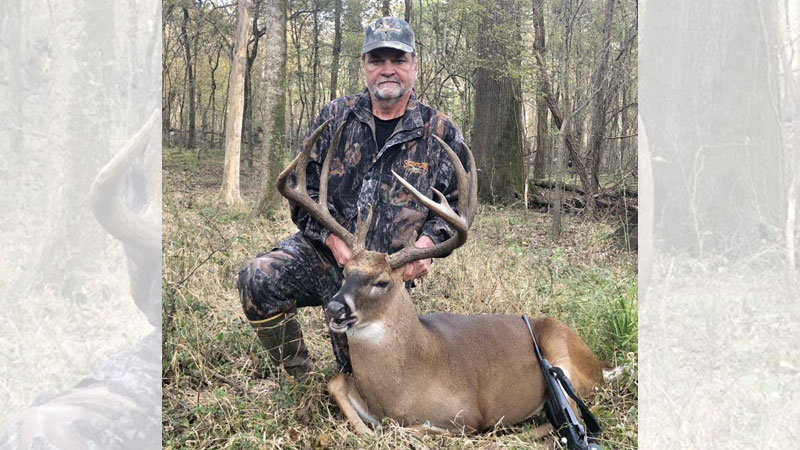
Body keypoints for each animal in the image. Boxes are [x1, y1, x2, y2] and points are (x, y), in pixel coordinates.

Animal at [277, 118, 606, 436]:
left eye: (382, 282)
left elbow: (407, 429)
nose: (335, 307)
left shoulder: (466, 415)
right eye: (345, 271)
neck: (405, 381)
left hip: (559, 349)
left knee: (573, 416)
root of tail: (599, 367)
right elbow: (336, 384)